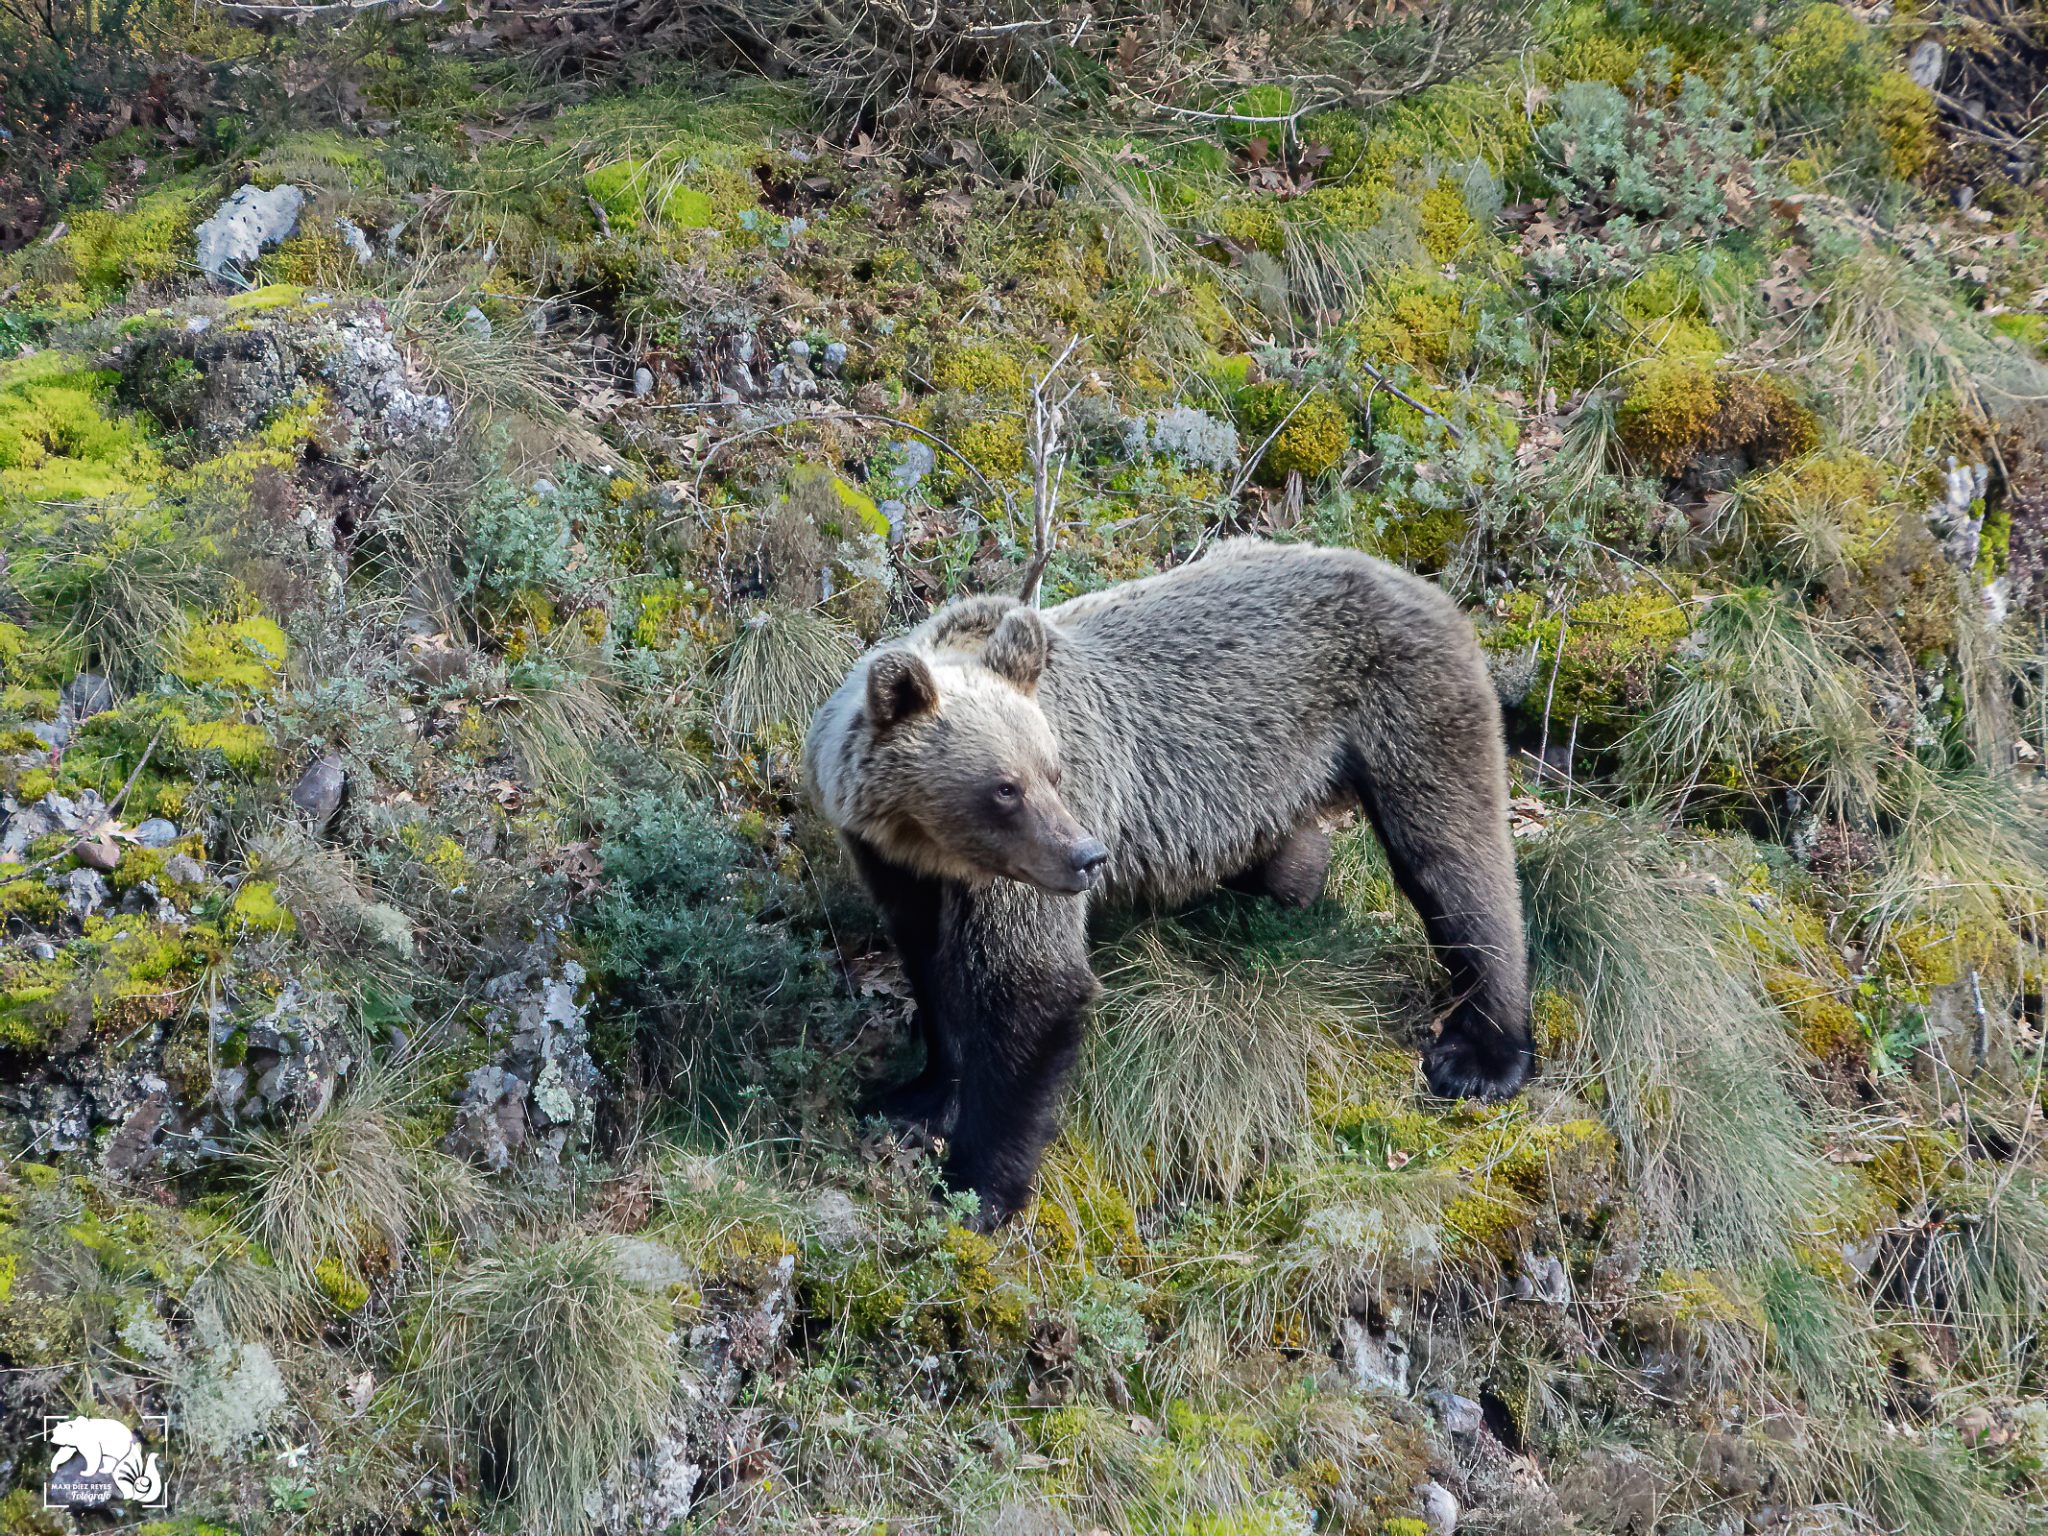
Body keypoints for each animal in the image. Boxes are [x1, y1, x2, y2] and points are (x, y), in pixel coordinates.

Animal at [804, 537, 1530, 1225]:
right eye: (1005, 788)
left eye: (1053, 771)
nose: (1086, 857)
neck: (930, 845)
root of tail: (1418, 581)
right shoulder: (898, 867)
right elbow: (932, 971)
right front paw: (916, 1096)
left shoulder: (1020, 864)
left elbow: (1032, 986)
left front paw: (977, 1185)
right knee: (1292, 858)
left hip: (1406, 707)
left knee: (1457, 863)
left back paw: (1484, 1055)